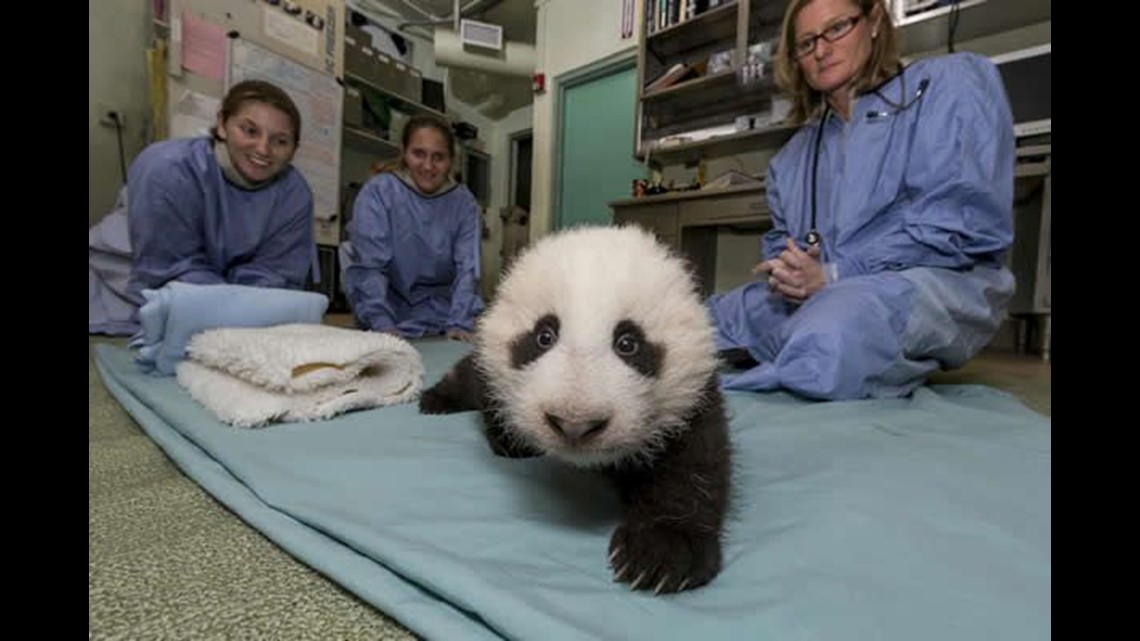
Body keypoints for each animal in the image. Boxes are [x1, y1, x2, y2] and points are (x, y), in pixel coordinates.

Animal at [419, 224, 732, 595]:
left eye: (628, 343)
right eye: (544, 336)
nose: (574, 424)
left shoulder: (692, 396)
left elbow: (694, 462)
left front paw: (662, 550)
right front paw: (510, 439)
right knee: (472, 375)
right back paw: (437, 400)